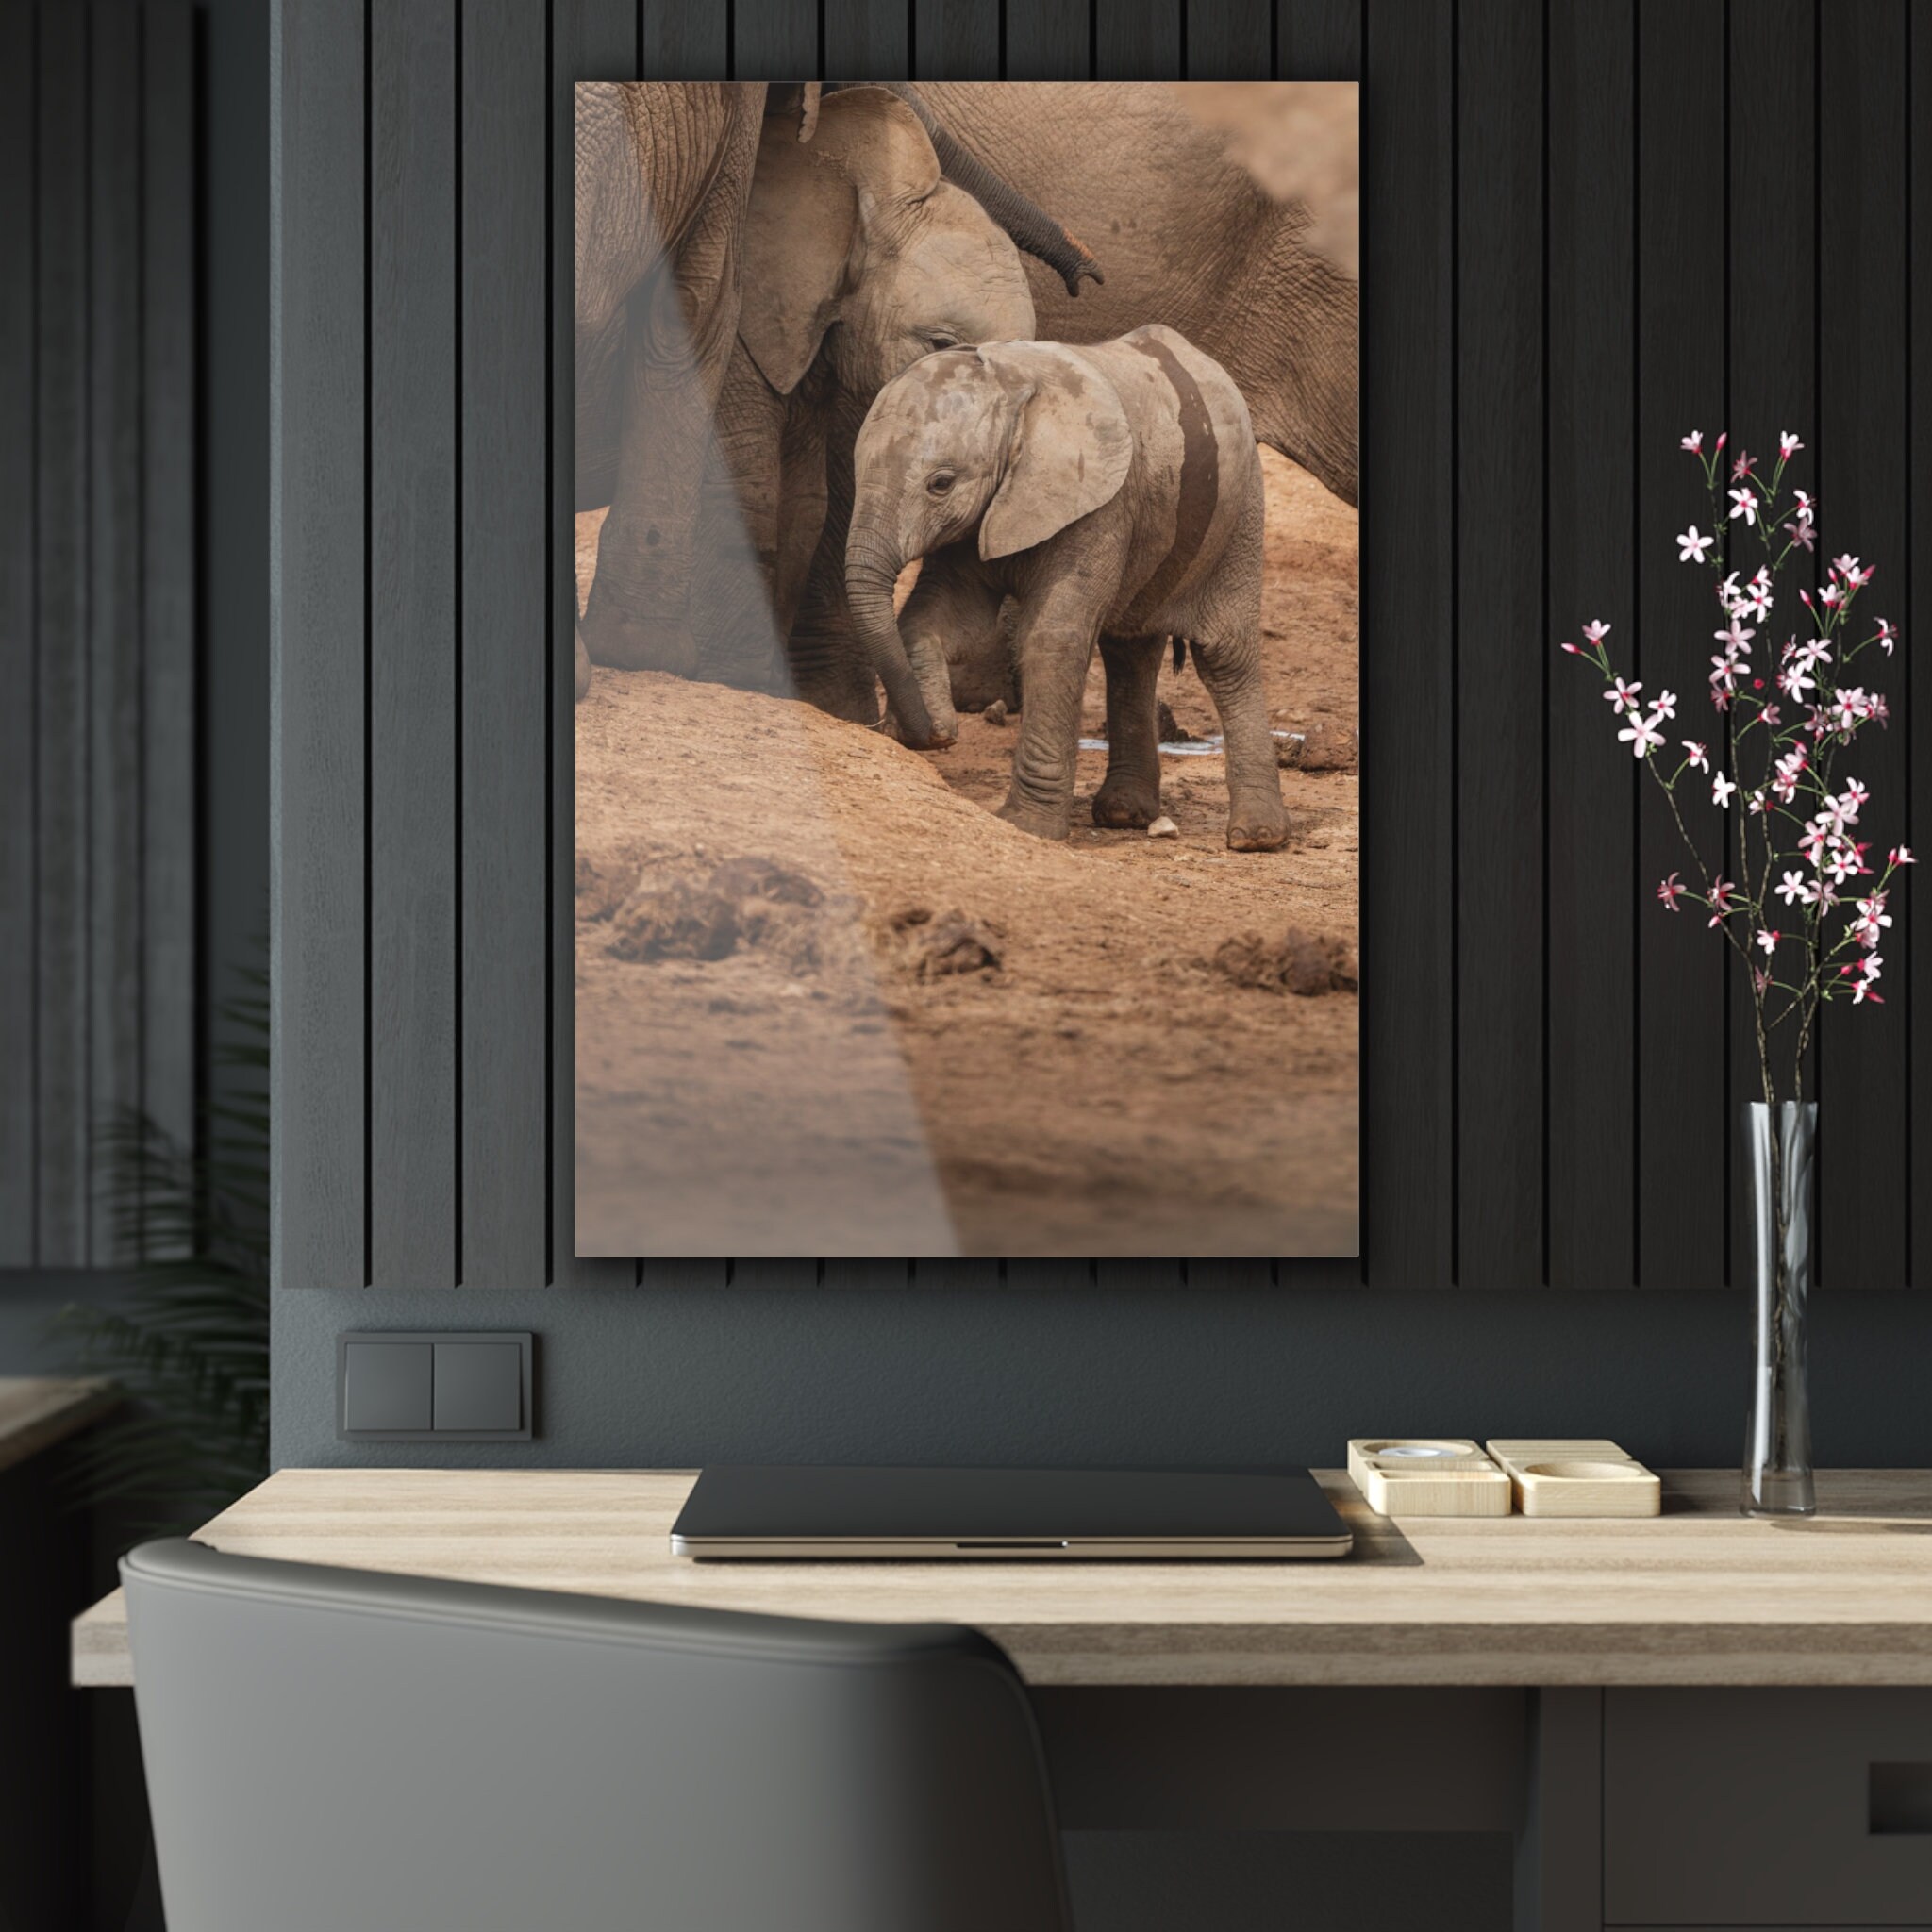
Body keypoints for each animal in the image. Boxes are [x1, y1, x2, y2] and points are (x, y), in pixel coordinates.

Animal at [845, 326, 1289, 854]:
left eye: (941, 484)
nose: (930, 736)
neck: (1014, 388)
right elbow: (939, 617)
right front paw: (935, 727)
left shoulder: (1099, 505)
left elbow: (1051, 641)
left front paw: (1027, 826)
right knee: (1130, 654)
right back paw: (1124, 814)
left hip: (1240, 514)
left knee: (1225, 658)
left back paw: (1256, 837)